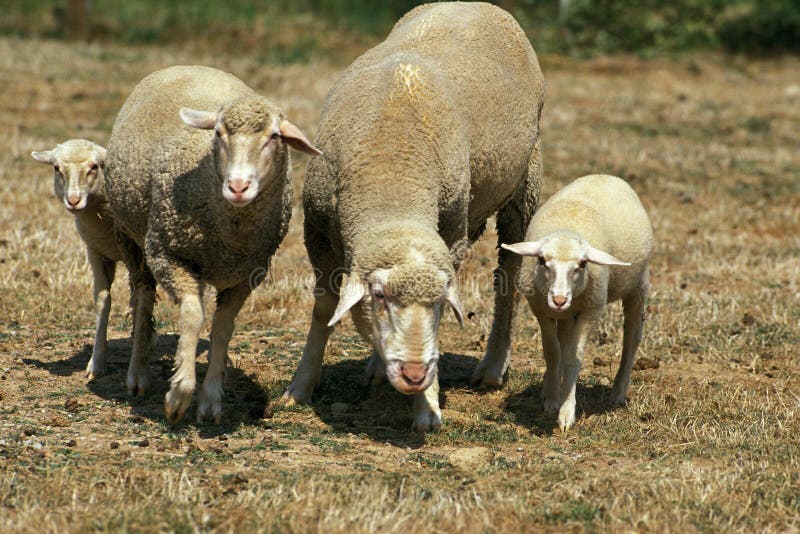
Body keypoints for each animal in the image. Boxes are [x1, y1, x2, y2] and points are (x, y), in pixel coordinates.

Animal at [31, 139, 124, 379]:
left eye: (94, 167)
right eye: (56, 168)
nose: (73, 201)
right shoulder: (96, 251)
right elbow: (103, 301)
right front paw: (96, 364)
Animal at [104, 65, 321, 423]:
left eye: (274, 137)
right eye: (218, 133)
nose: (238, 186)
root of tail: (186, 66)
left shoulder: (246, 276)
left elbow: (222, 329)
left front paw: (210, 400)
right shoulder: (169, 255)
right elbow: (192, 315)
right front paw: (179, 395)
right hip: (134, 240)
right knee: (143, 298)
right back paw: (138, 375)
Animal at [283, 2, 545, 432]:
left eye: (439, 303)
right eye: (378, 295)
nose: (414, 374)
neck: (392, 181)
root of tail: (476, 5)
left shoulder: (450, 238)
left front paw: (428, 406)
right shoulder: (317, 233)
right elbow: (324, 310)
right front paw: (299, 387)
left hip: (524, 184)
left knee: (507, 279)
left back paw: (492, 367)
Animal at [501, 174, 653, 431]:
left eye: (582, 264)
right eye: (541, 260)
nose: (559, 299)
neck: (568, 227)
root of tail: (606, 176)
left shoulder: (591, 309)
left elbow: (574, 356)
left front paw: (566, 411)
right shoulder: (540, 308)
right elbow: (552, 350)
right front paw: (553, 397)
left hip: (638, 286)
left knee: (632, 337)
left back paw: (618, 392)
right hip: (567, 314)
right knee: (563, 340)